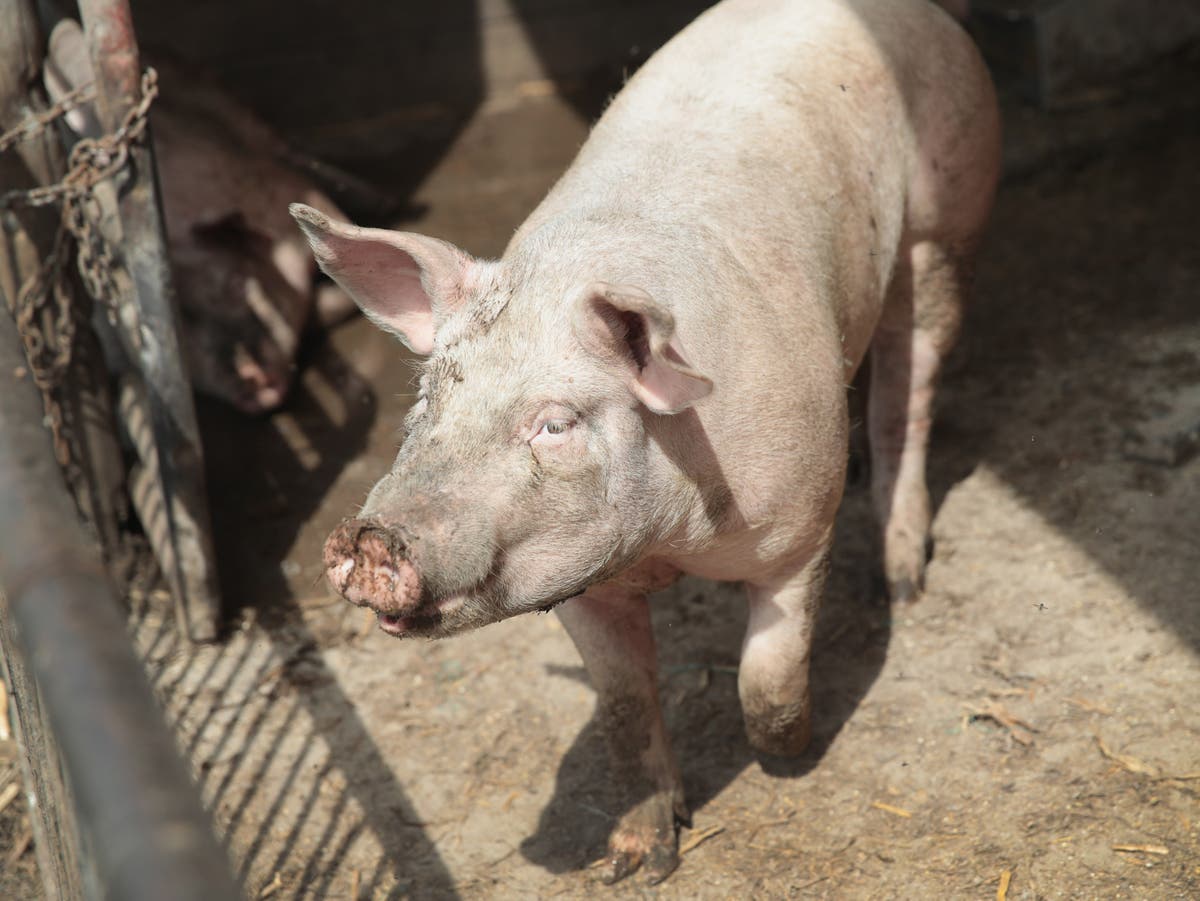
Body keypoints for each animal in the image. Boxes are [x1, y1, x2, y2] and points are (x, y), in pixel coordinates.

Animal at [298, 0, 1000, 884]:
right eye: (431, 393)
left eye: (555, 422)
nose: (368, 536)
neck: (669, 543)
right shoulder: (579, 588)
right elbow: (625, 710)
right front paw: (633, 864)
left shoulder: (800, 528)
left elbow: (766, 682)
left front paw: (791, 753)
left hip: (948, 219)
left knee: (910, 392)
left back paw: (900, 583)